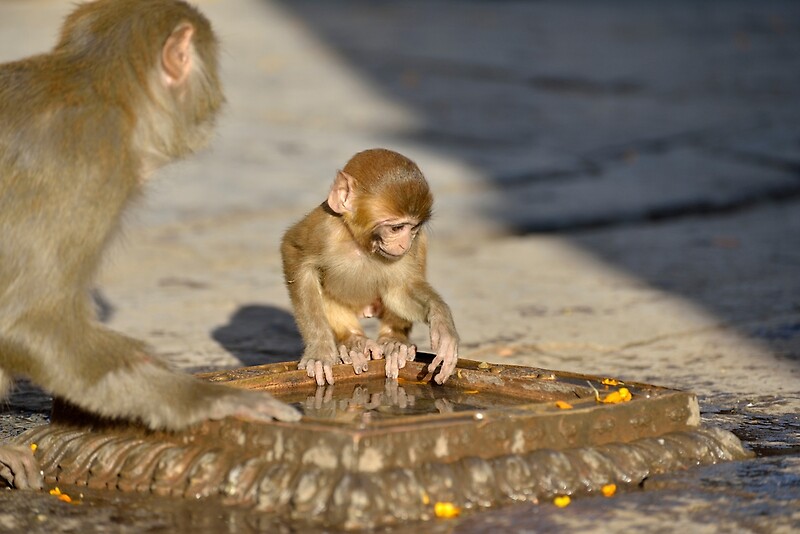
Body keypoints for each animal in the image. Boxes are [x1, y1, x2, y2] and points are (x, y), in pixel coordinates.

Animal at [281, 148, 459, 386]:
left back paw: (394, 341)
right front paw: (320, 351)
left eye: (413, 228)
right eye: (396, 228)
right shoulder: (323, 229)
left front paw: (441, 319)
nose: (404, 244)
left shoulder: (415, 241)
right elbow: (296, 256)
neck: (361, 244)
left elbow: (401, 287)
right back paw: (354, 342)